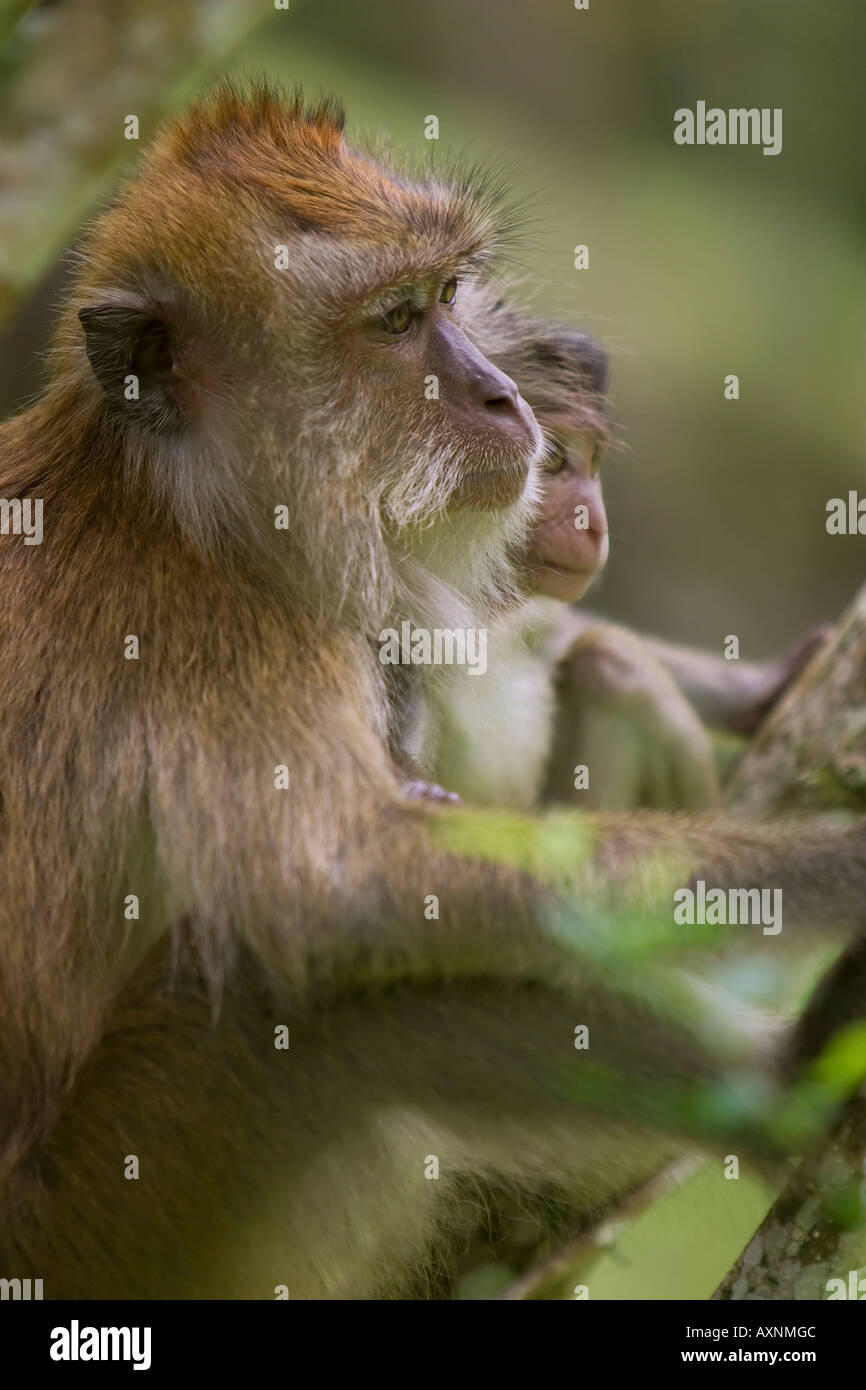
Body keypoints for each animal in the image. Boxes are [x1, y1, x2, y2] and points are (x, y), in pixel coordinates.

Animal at [0, 83, 864, 1300]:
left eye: (449, 295)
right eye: (396, 320)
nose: (500, 397)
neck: (170, 493)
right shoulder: (224, 630)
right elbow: (342, 886)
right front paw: (845, 866)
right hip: (112, 1218)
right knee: (323, 995)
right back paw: (790, 1085)